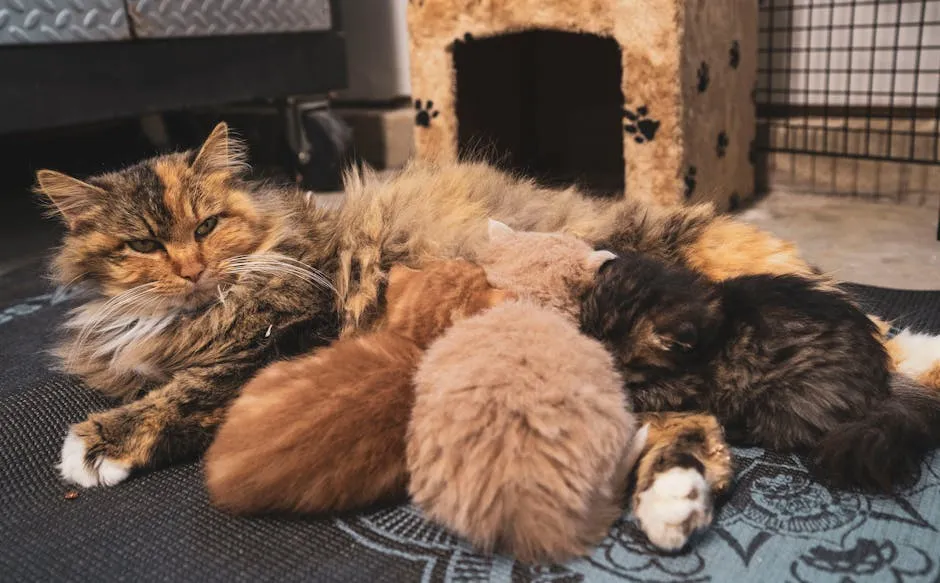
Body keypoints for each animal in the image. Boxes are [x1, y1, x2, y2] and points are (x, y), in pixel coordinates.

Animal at [580, 256, 940, 492]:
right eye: (588, 331)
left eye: (622, 360)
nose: (595, 355)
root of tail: (881, 388)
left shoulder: (684, 387)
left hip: (794, 398)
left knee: (784, 433)